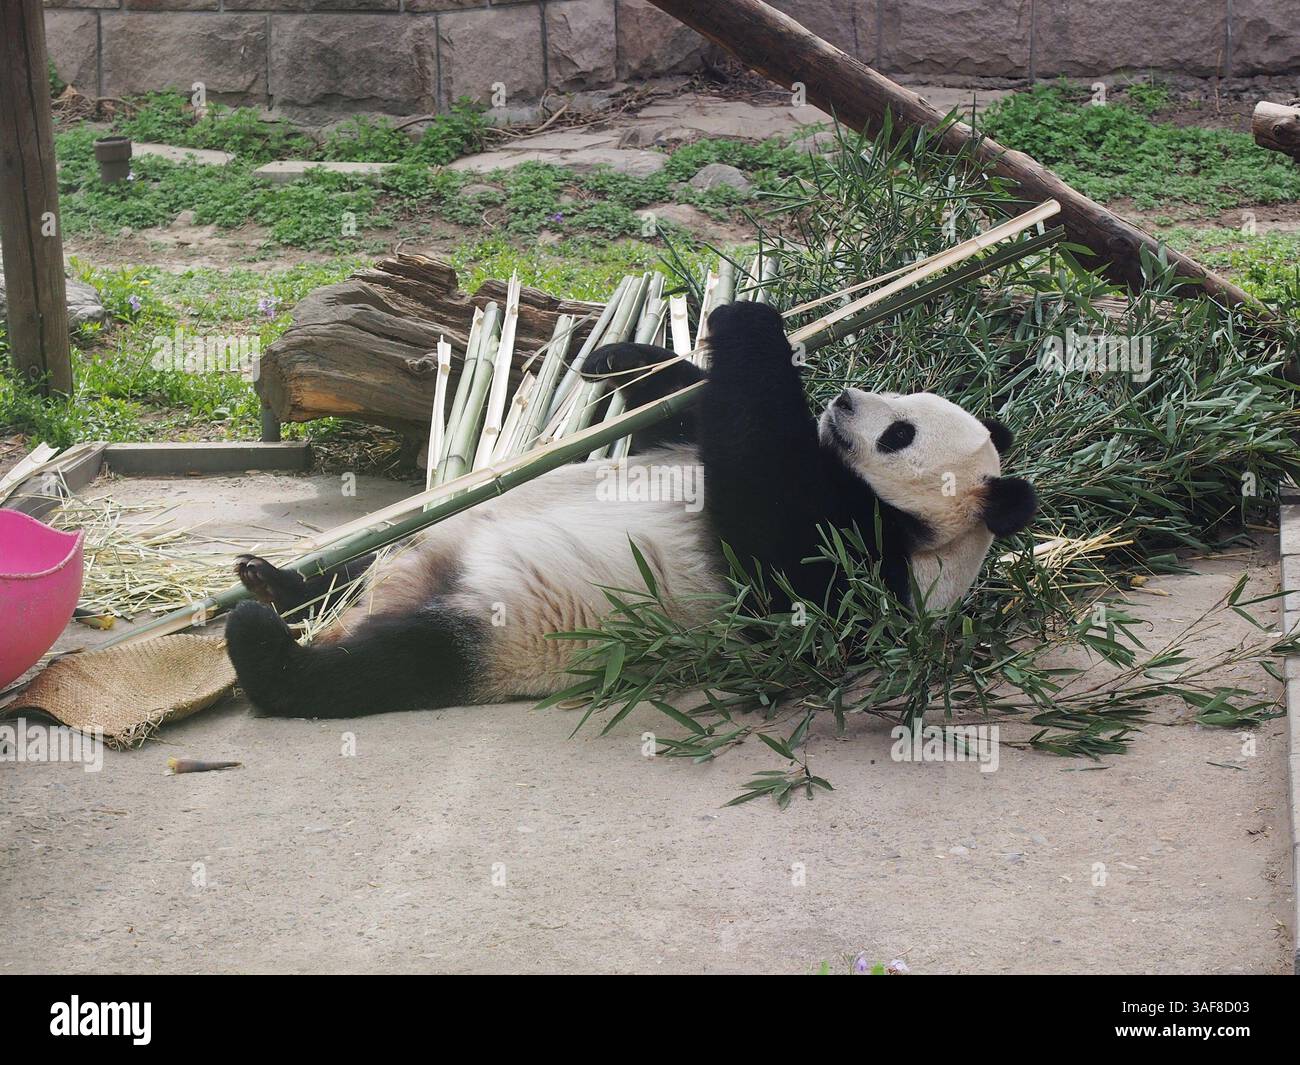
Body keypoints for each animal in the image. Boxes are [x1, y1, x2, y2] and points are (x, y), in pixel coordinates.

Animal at [225, 300, 1036, 718]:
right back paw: (277, 580)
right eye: (902, 400)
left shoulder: (862, 574)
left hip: (504, 633)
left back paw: (266, 645)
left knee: (389, 666)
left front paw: (750, 319)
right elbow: (685, 422)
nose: (839, 399)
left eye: (900, 433)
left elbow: (767, 518)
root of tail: (401, 590)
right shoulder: (696, 451)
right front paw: (618, 355)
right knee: (361, 561)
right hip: (432, 537)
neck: (926, 533)